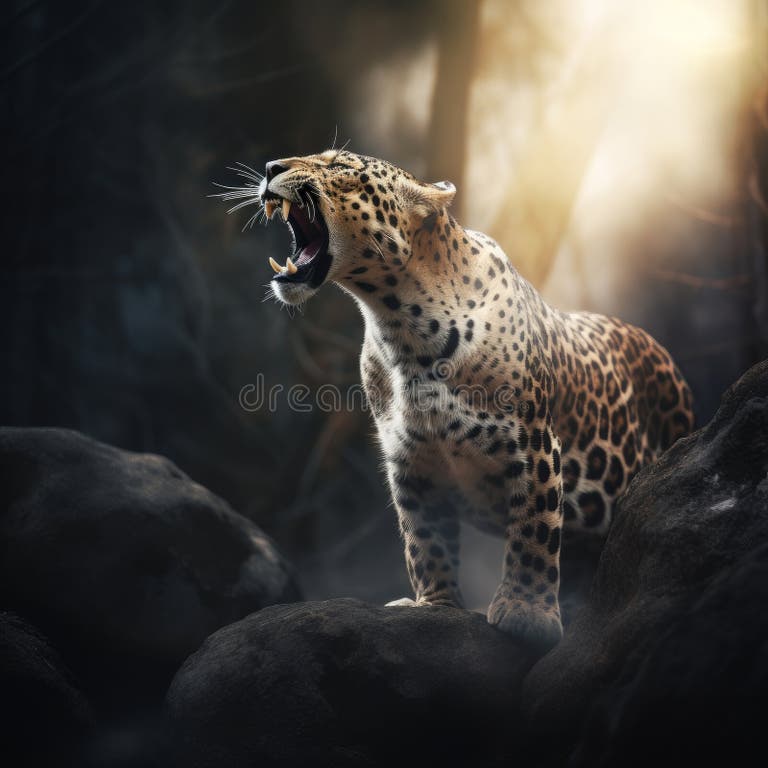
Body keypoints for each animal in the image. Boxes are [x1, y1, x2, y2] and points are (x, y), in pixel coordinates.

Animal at [226, 148, 694, 652]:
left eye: (339, 167)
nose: (271, 168)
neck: (403, 333)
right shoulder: (410, 461)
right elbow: (425, 541)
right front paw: (434, 605)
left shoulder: (534, 445)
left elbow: (533, 531)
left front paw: (526, 614)